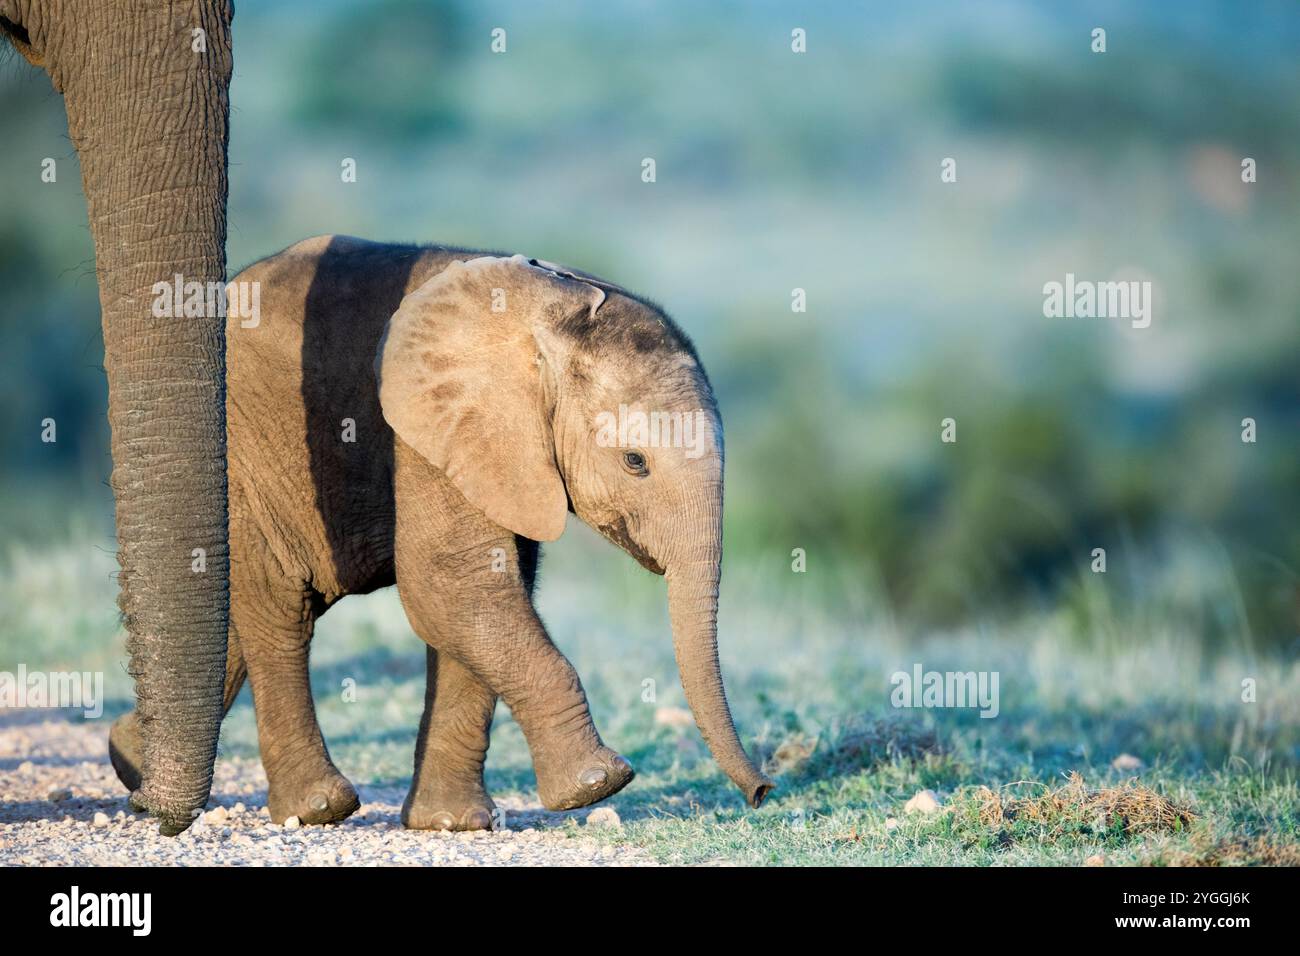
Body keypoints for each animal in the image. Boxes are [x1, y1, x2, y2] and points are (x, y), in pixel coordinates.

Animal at [110, 235, 775, 828]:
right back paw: (317, 808)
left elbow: (480, 600)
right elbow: (453, 587)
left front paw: (452, 824)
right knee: (281, 612)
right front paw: (599, 784)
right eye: (635, 462)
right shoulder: (427, 430)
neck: (552, 310)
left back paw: (132, 768)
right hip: (245, 464)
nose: (763, 792)